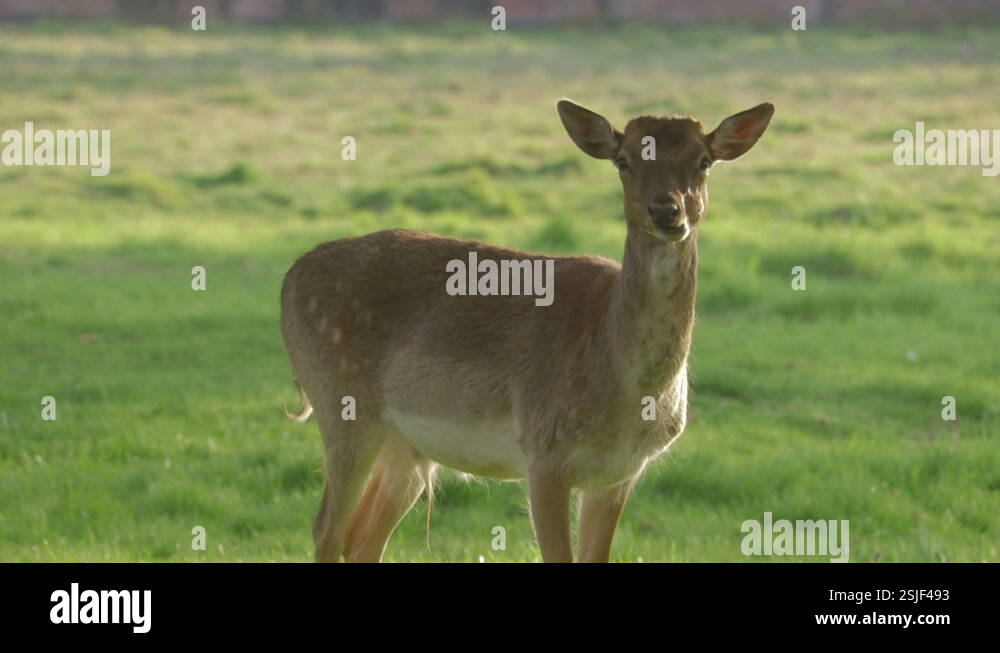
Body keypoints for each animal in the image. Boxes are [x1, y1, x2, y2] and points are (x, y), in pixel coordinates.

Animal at [280, 99, 774, 562]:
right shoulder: (545, 450)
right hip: (342, 405)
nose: (666, 211)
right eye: (624, 160)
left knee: (361, 537)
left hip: (405, 445)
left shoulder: (619, 473)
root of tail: (288, 281)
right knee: (325, 528)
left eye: (704, 160)